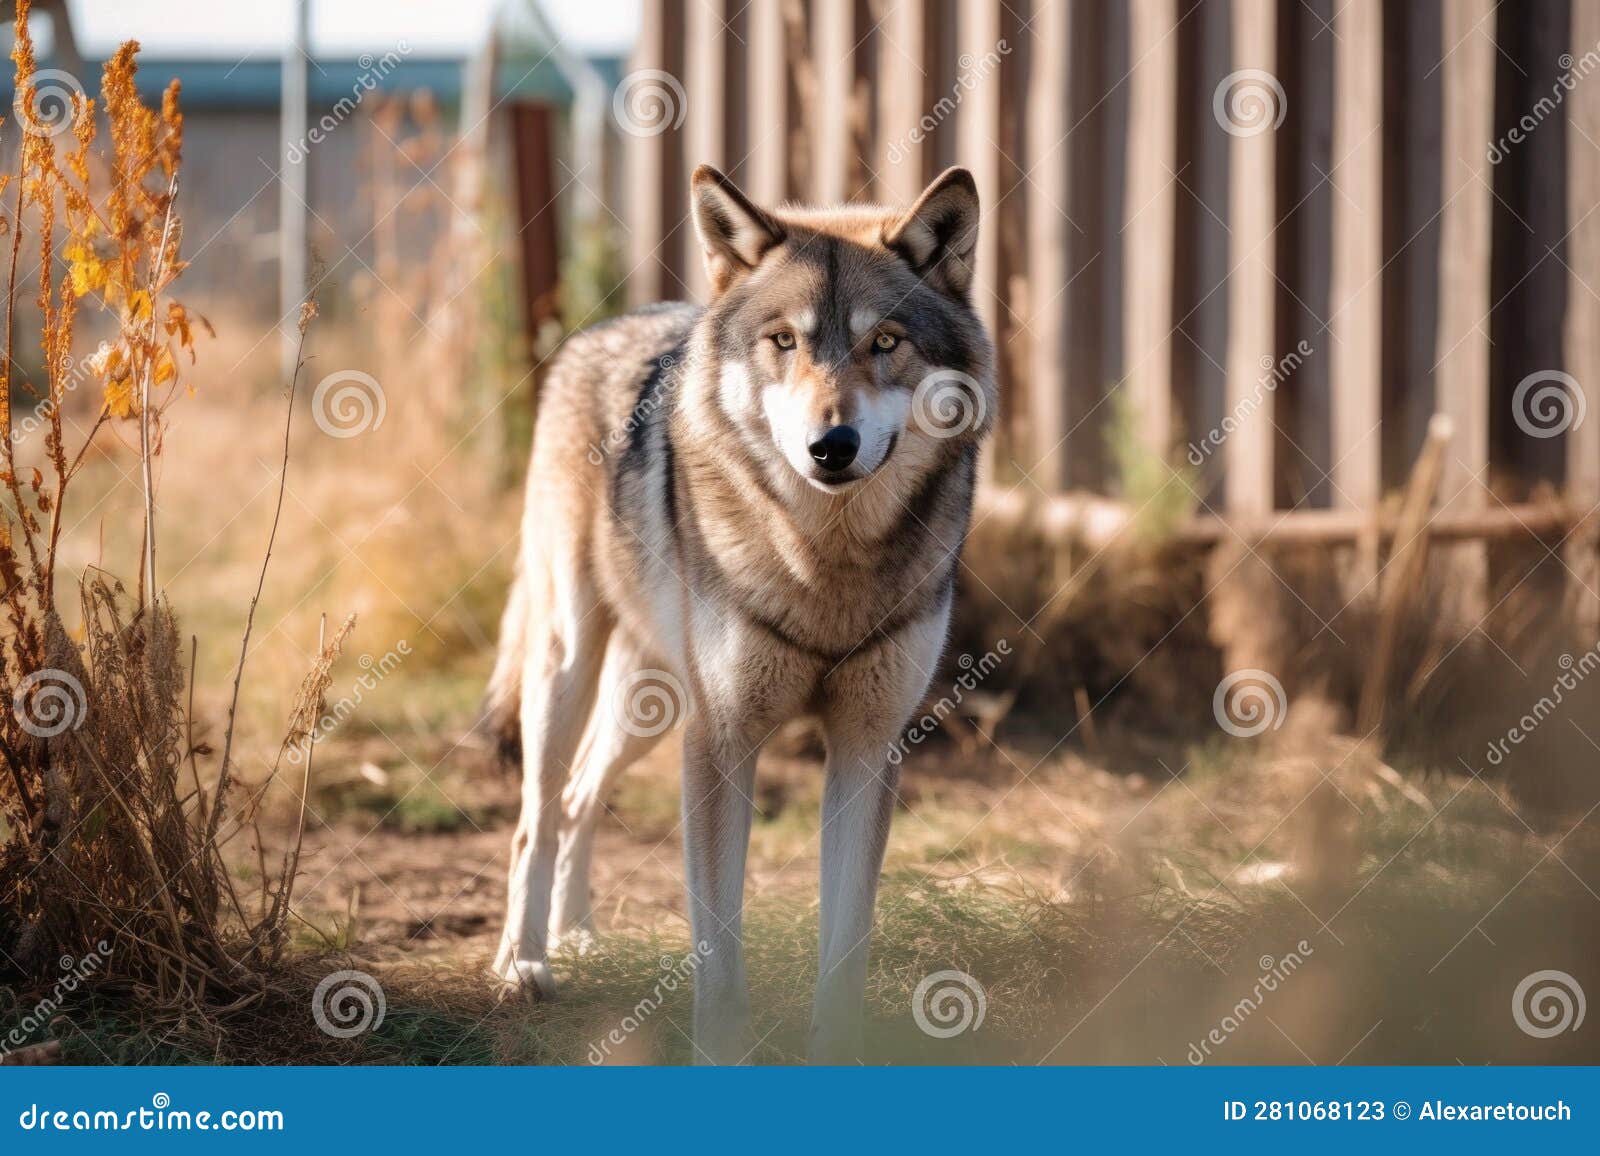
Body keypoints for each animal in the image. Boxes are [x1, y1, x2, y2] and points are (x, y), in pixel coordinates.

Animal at [484, 163, 995, 1063]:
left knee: (580, 797)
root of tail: (595, 331)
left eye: (885, 343)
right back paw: (524, 962)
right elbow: (718, 949)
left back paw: (578, 936)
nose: (832, 445)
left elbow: (846, 941)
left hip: (649, 706)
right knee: (536, 817)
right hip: (572, 669)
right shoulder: (719, 741)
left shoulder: (867, 747)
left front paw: (837, 1054)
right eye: (784, 341)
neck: (826, 563)